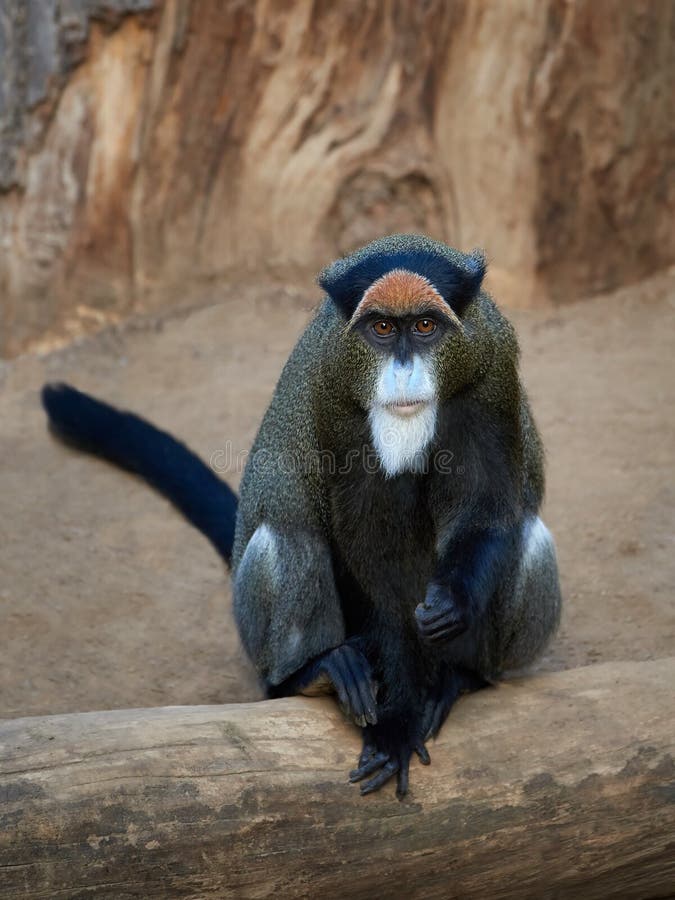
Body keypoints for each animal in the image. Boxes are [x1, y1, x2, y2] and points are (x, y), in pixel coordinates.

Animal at [42, 233, 561, 798]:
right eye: (382, 328)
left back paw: (461, 677)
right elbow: (371, 565)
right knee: (286, 538)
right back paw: (312, 674)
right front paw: (396, 723)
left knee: (529, 536)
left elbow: (489, 511)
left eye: (426, 326)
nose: (403, 372)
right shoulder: (334, 396)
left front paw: (451, 607)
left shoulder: (494, 371)